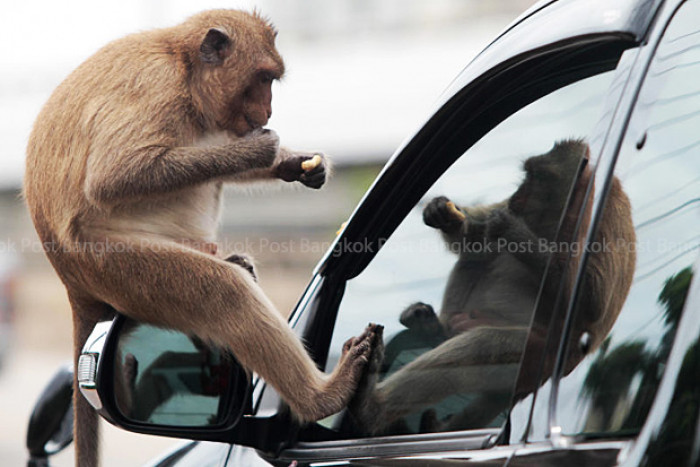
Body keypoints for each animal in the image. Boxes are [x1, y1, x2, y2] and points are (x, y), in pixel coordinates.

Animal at [23, 10, 378, 466]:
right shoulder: (155, 88)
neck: (183, 66)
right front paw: (257, 152)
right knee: (225, 293)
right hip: (112, 262)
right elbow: (113, 177)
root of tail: (70, 280)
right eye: (262, 78)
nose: (267, 110)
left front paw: (297, 164)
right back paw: (323, 398)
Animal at [346, 139, 636, 435]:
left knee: (482, 346)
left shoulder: (604, 212)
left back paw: (370, 408)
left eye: (538, 177)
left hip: (535, 356)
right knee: (476, 258)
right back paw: (435, 328)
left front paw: (511, 231)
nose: (518, 194)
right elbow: (475, 238)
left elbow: (590, 305)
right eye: (527, 173)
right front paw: (444, 214)